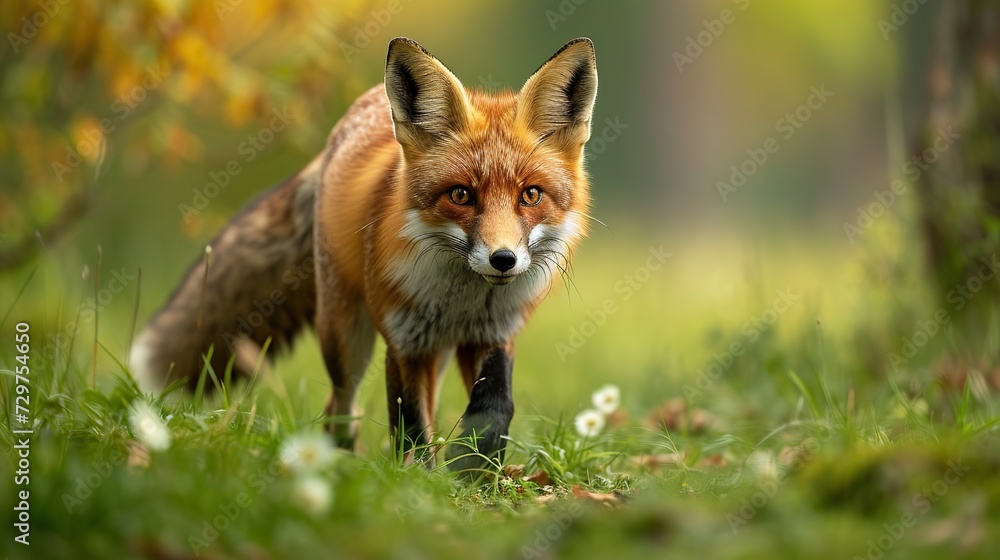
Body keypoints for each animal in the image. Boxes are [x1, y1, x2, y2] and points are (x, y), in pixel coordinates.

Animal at [131, 37, 598, 471]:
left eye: (531, 195)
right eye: (461, 195)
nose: (503, 260)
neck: (461, 301)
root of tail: (354, 113)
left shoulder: (493, 333)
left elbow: (495, 405)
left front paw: (475, 467)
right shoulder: (403, 340)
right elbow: (411, 426)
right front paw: (419, 482)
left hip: (436, 351)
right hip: (344, 339)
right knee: (341, 406)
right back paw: (339, 460)